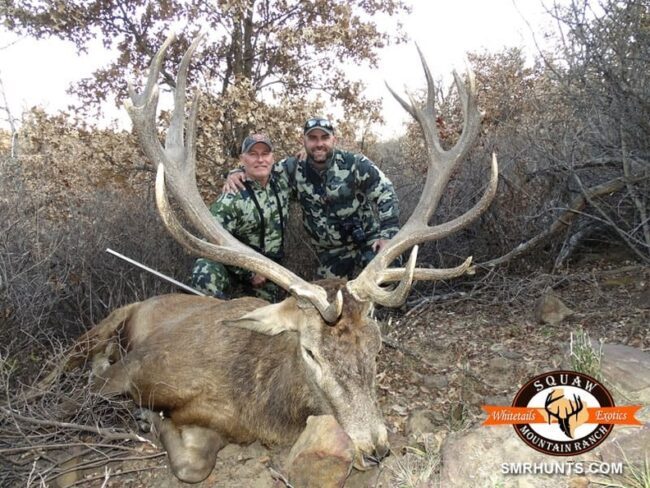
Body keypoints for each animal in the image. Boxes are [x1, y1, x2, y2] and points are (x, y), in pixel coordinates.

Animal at [43, 33, 498, 483]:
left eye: (376, 346)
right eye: (311, 352)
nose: (375, 448)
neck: (255, 403)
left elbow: (194, 463)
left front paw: (154, 422)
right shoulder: (136, 366)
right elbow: (88, 410)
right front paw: (143, 418)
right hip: (102, 326)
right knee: (56, 374)